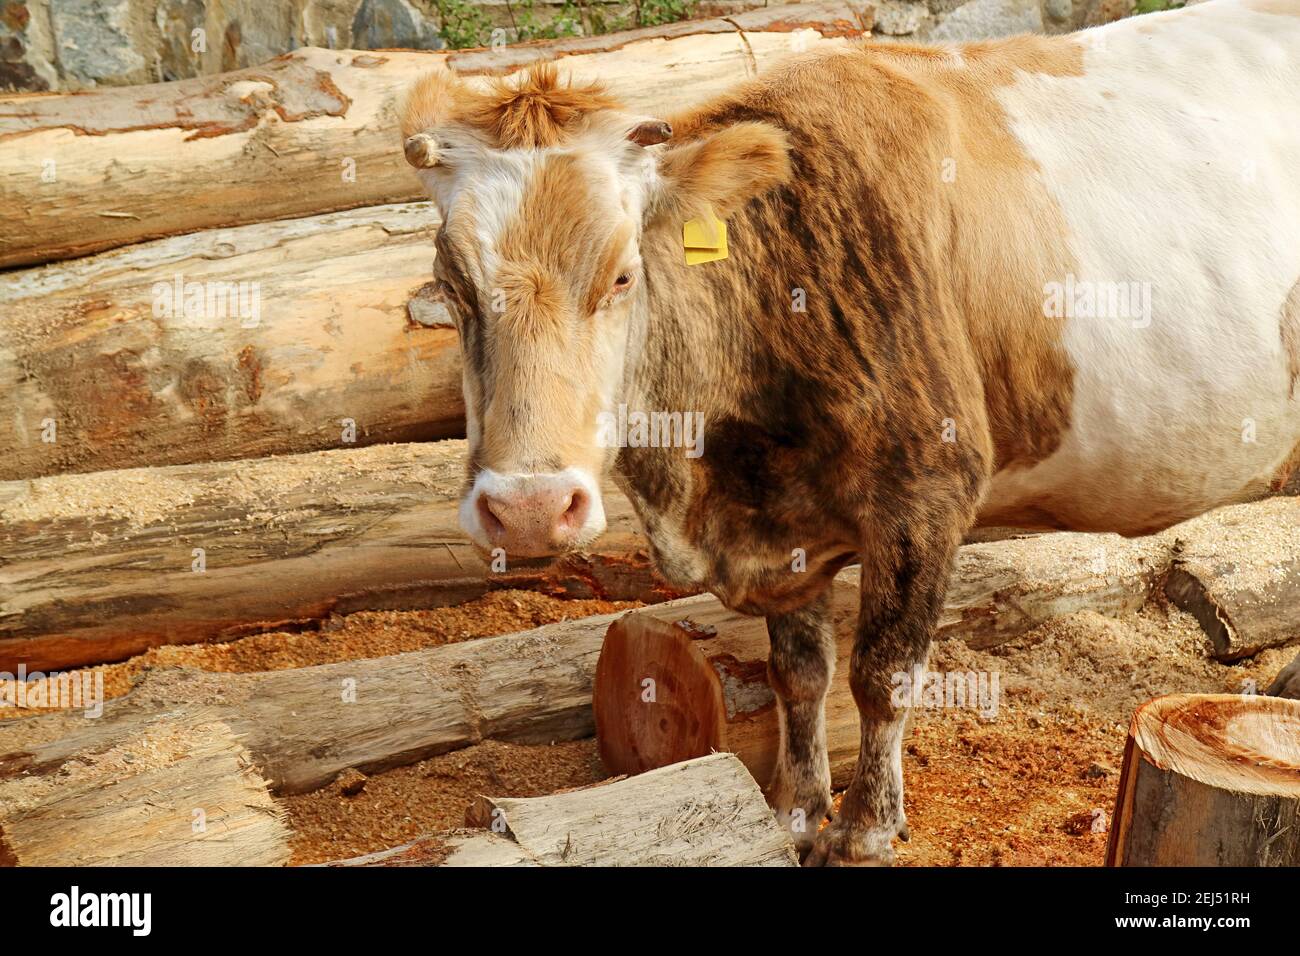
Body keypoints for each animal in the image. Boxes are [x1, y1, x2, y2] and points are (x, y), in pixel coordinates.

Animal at [399, 0, 1300, 864]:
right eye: (451, 285)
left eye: (623, 276)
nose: (528, 508)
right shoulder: (782, 529)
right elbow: (801, 673)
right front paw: (796, 814)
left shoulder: (928, 492)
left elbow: (881, 674)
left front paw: (867, 827)